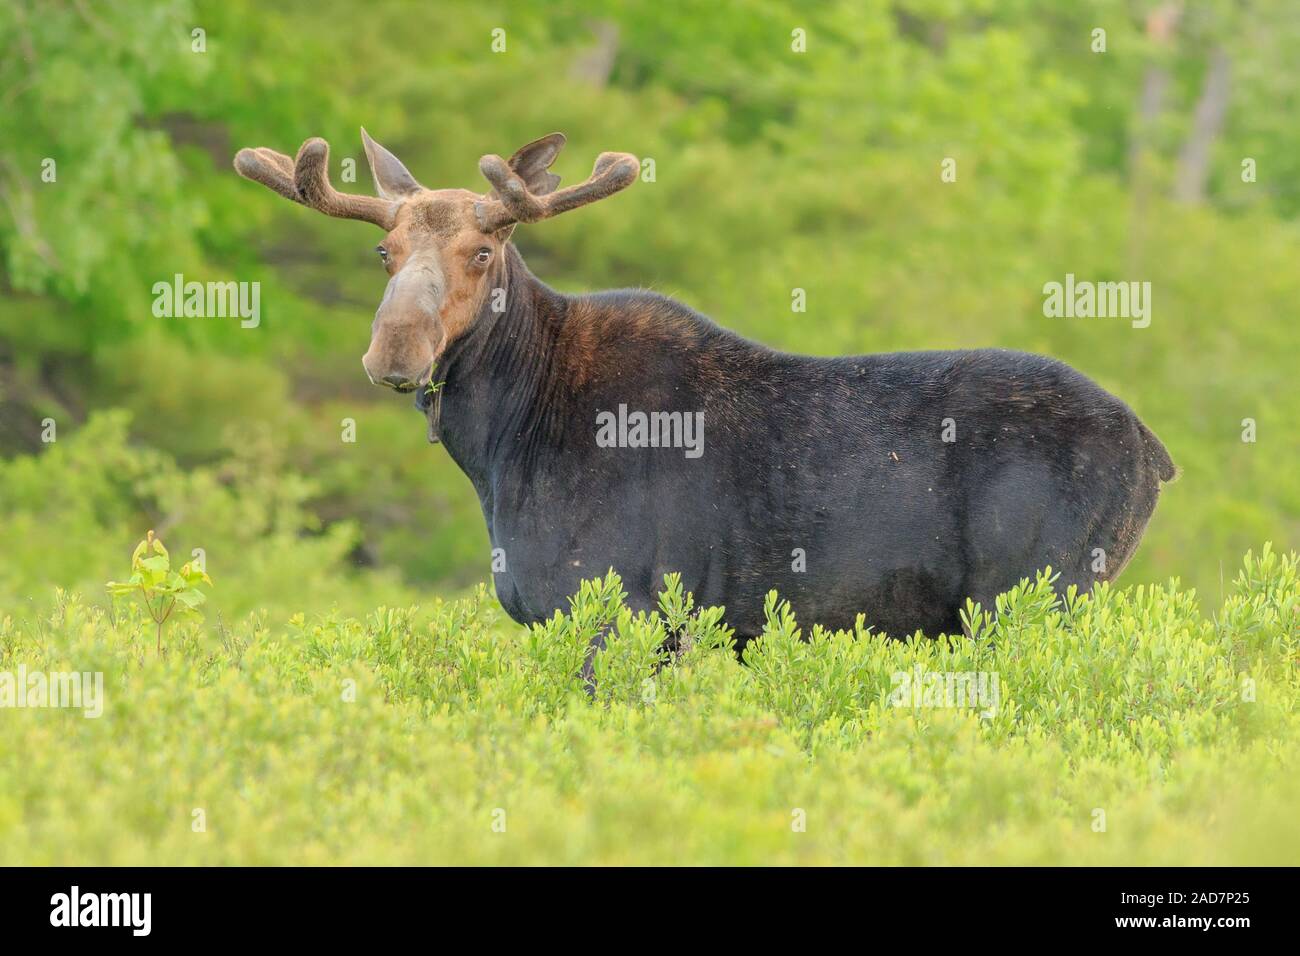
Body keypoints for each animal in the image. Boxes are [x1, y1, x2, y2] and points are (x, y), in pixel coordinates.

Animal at [234, 130, 1176, 680]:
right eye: (384, 252)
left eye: (482, 251)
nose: (393, 352)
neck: (504, 445)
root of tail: (1154, 451)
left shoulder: (620, 615)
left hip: (1040, 591)